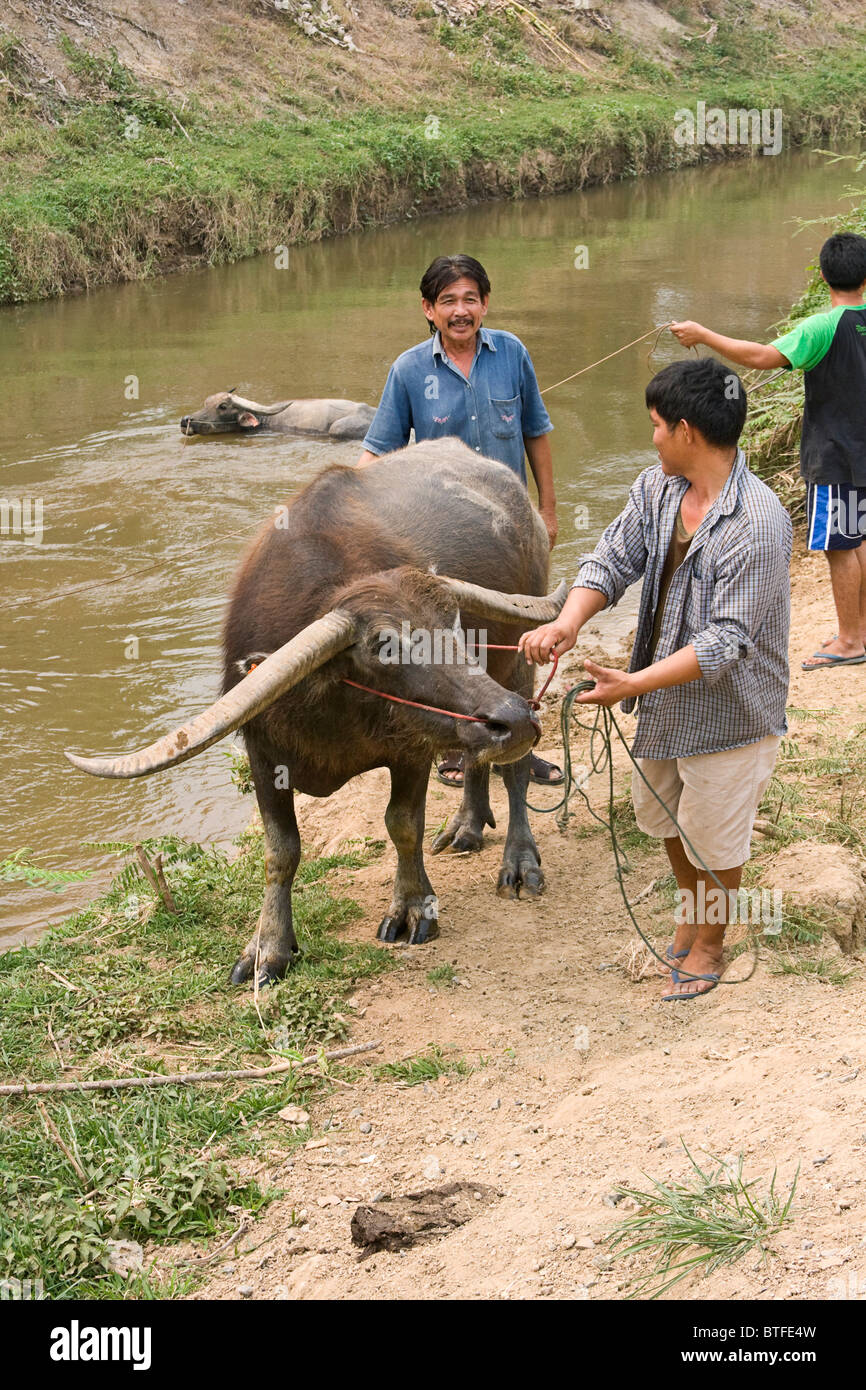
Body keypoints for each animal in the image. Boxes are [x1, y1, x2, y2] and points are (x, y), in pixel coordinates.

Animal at [66, 440, 566, 986]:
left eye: (454, 623)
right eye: (384, 645)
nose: (513, 720)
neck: (330, 704)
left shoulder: (410, 748)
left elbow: (402, 824)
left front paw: (413, 909)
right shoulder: (264, 753)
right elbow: (280, 851)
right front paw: (268, 947)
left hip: (515, 663)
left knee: (514, 771)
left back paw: (519, 861)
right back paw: (467, 826)